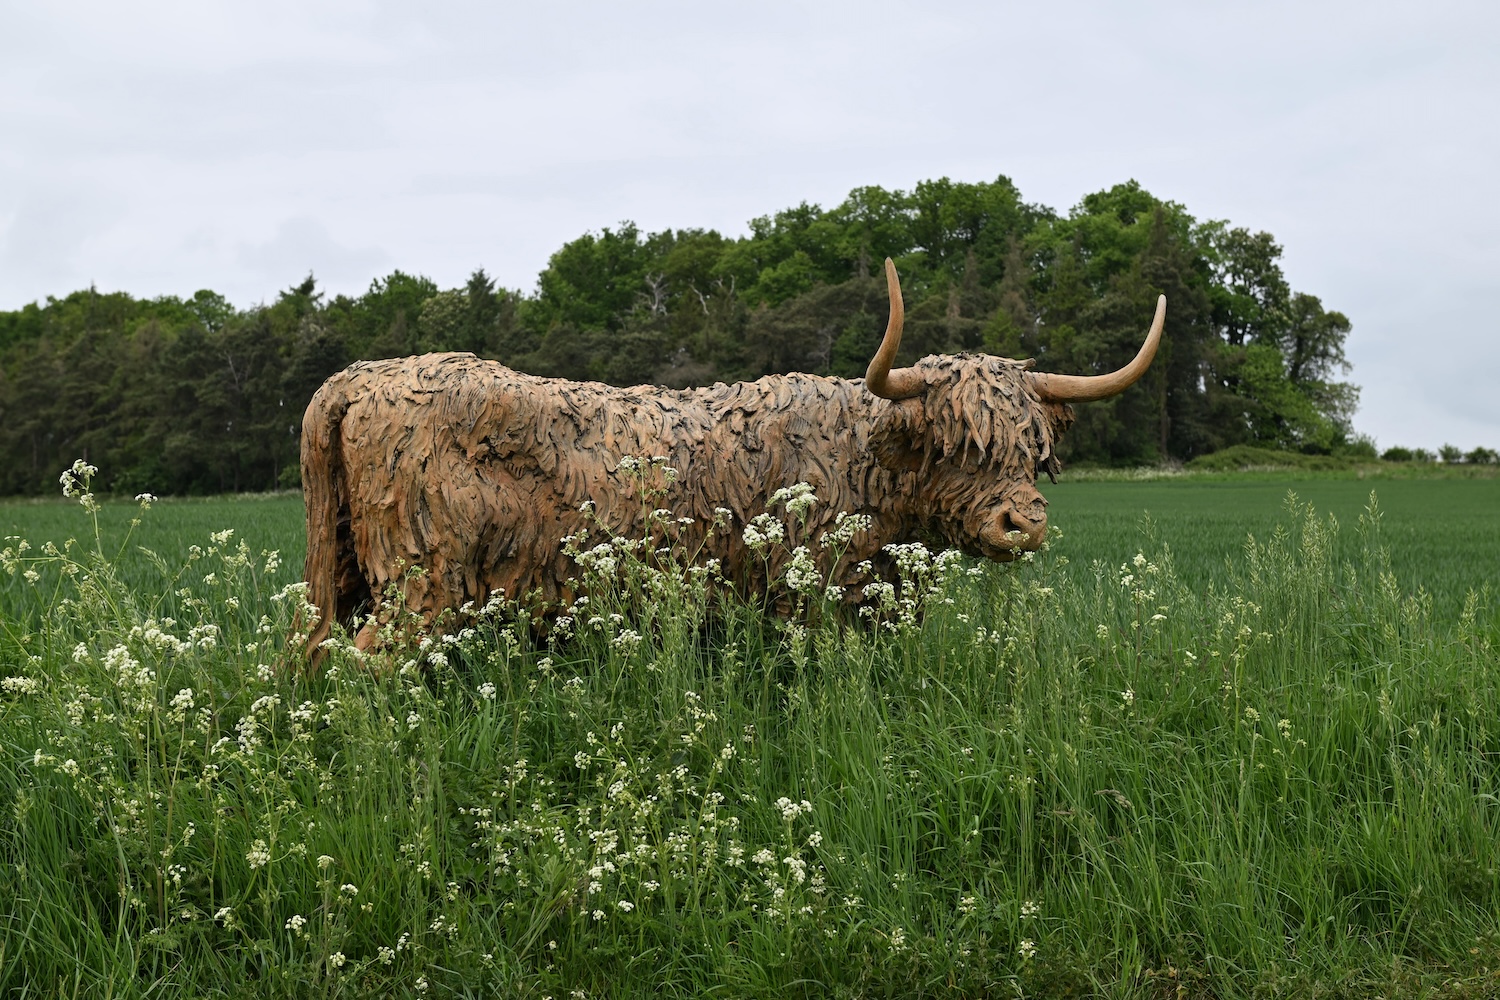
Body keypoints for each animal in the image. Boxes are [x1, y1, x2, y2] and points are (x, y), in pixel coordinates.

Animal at [300, 259, 1164, 652]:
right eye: (957, 446)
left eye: (1034, 450)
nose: (1024, 523)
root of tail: (360, 378)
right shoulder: (813, 601)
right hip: (422, 587)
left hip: (346, 578)